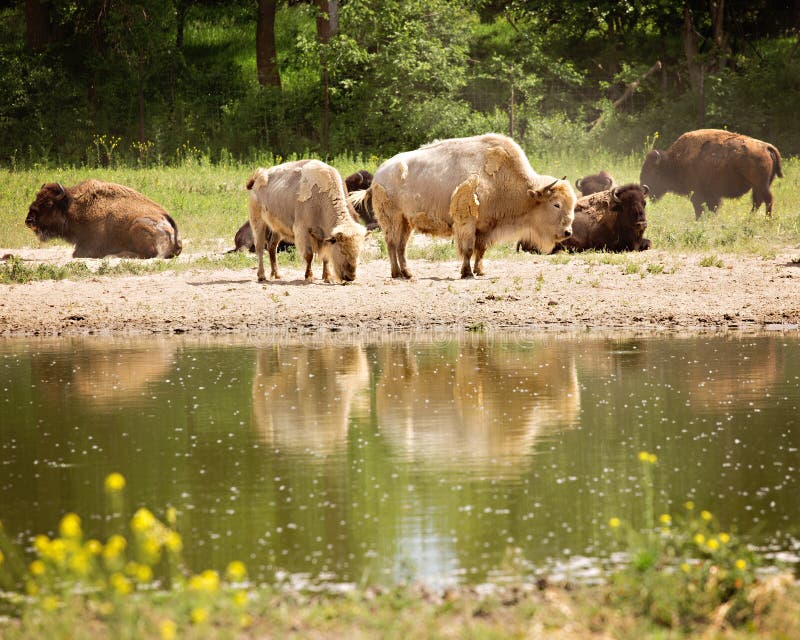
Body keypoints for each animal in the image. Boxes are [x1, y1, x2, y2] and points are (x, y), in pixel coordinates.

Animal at [640, 129, 783, 219]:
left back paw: (766, 219)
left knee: (767, 199)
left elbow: (700, 208)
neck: (674, 161)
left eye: (653, 172)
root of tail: (766, 147)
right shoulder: (711, 195)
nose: (644, 188)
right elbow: (711, 207)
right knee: (757, 201)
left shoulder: (698, 194)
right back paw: (749, 219)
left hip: (761, 185)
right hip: (758, 186)